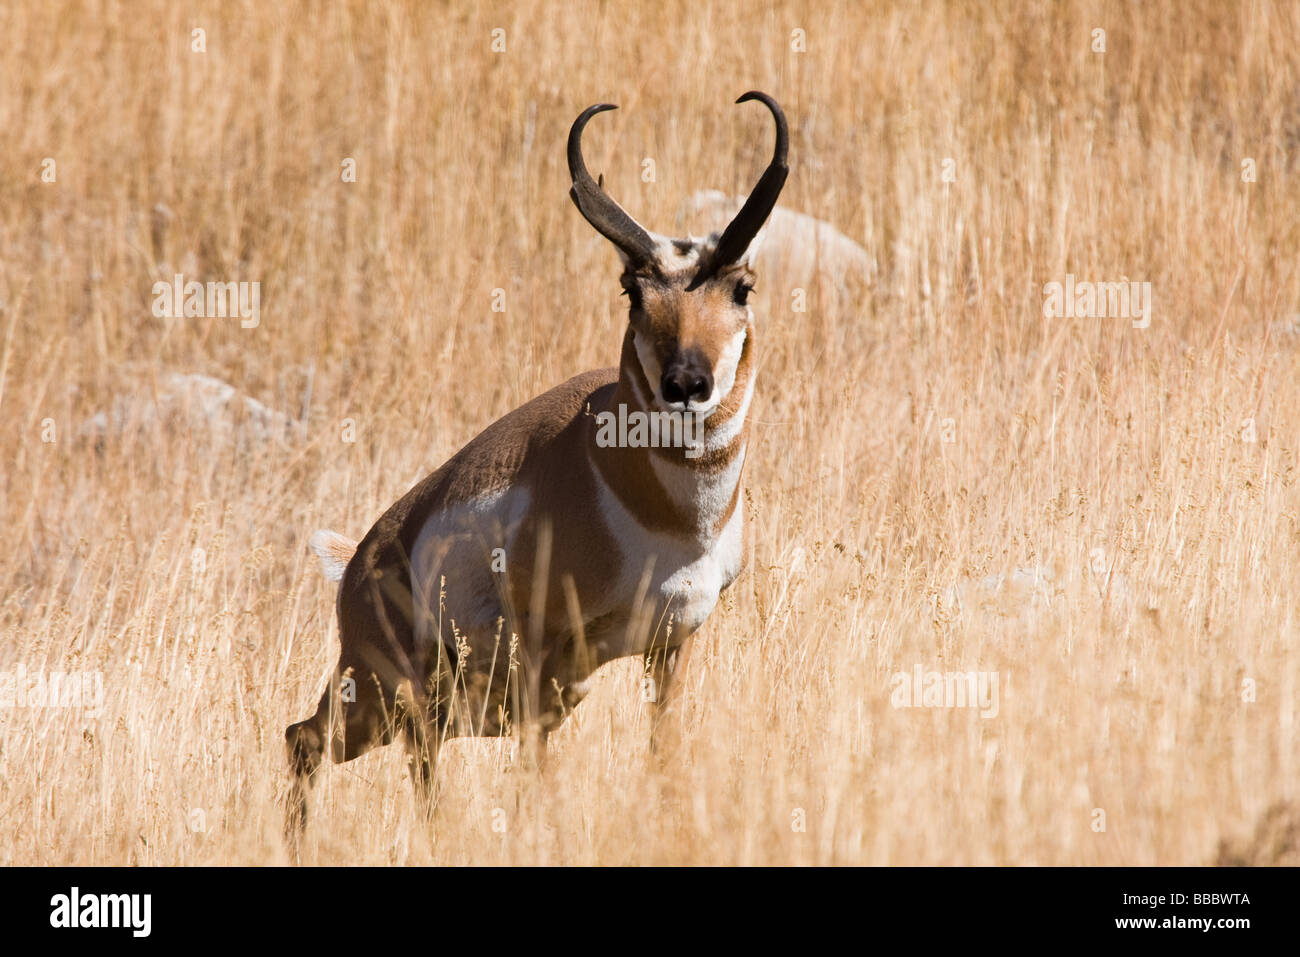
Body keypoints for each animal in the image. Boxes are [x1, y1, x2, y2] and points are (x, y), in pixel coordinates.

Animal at [284, 91, 789, 838]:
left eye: (743, 288)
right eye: (631, 290)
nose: (686, 383)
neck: (659, 515)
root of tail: (362, 557)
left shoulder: (672, 645)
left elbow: (662, 755)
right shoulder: (546, 660)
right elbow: (533, 779)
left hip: (455, 704)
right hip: (390, 693)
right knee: (310, 740)